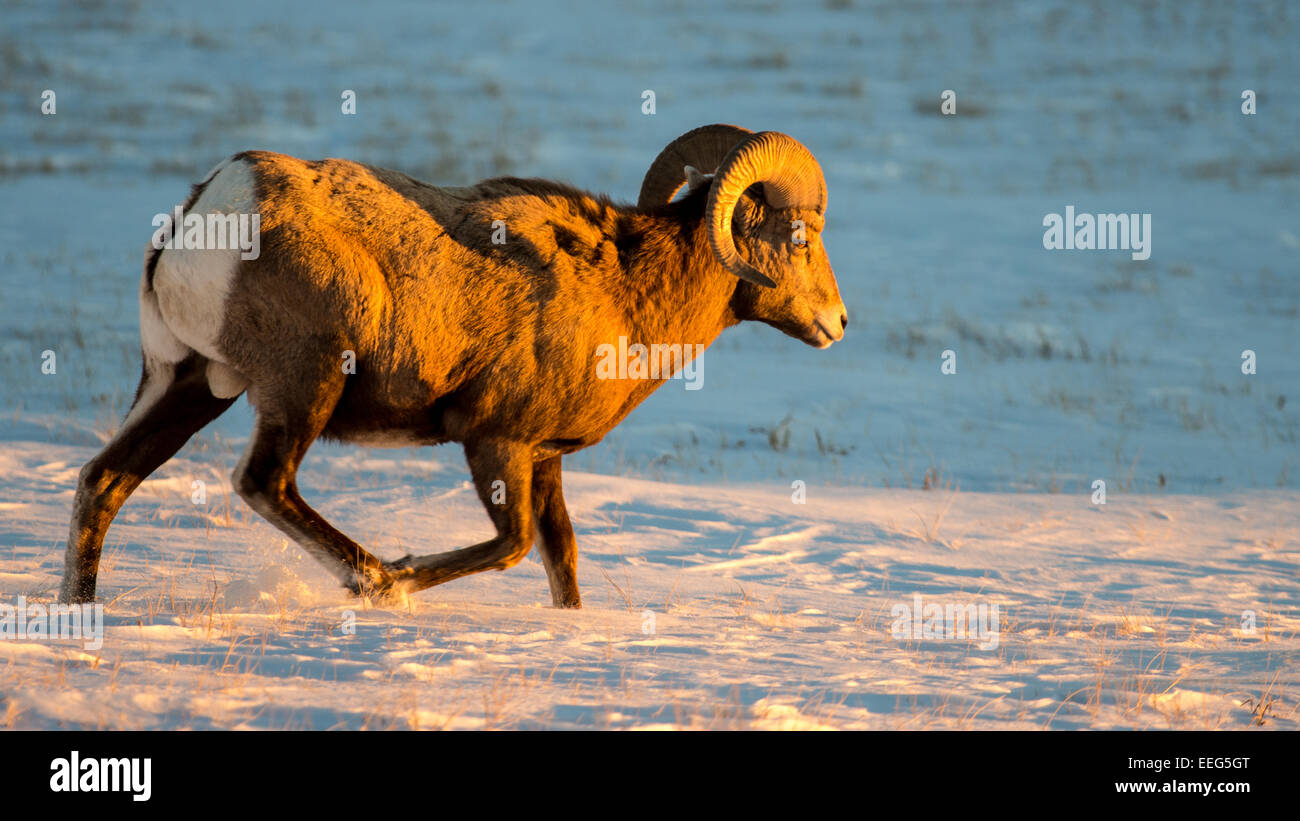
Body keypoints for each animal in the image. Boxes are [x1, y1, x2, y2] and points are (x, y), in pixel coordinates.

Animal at [60, 124, 848, 608]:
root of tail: (214, 208)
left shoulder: (542, 458)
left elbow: (562, 560)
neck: (627, 294)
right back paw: (373, 579)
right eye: (801, 237)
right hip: (301, 389)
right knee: (264, 483)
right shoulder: (494, 442)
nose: (838, 324)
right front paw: (401, 579)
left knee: (104, 482)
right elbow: (513, 544)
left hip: (189, 383)